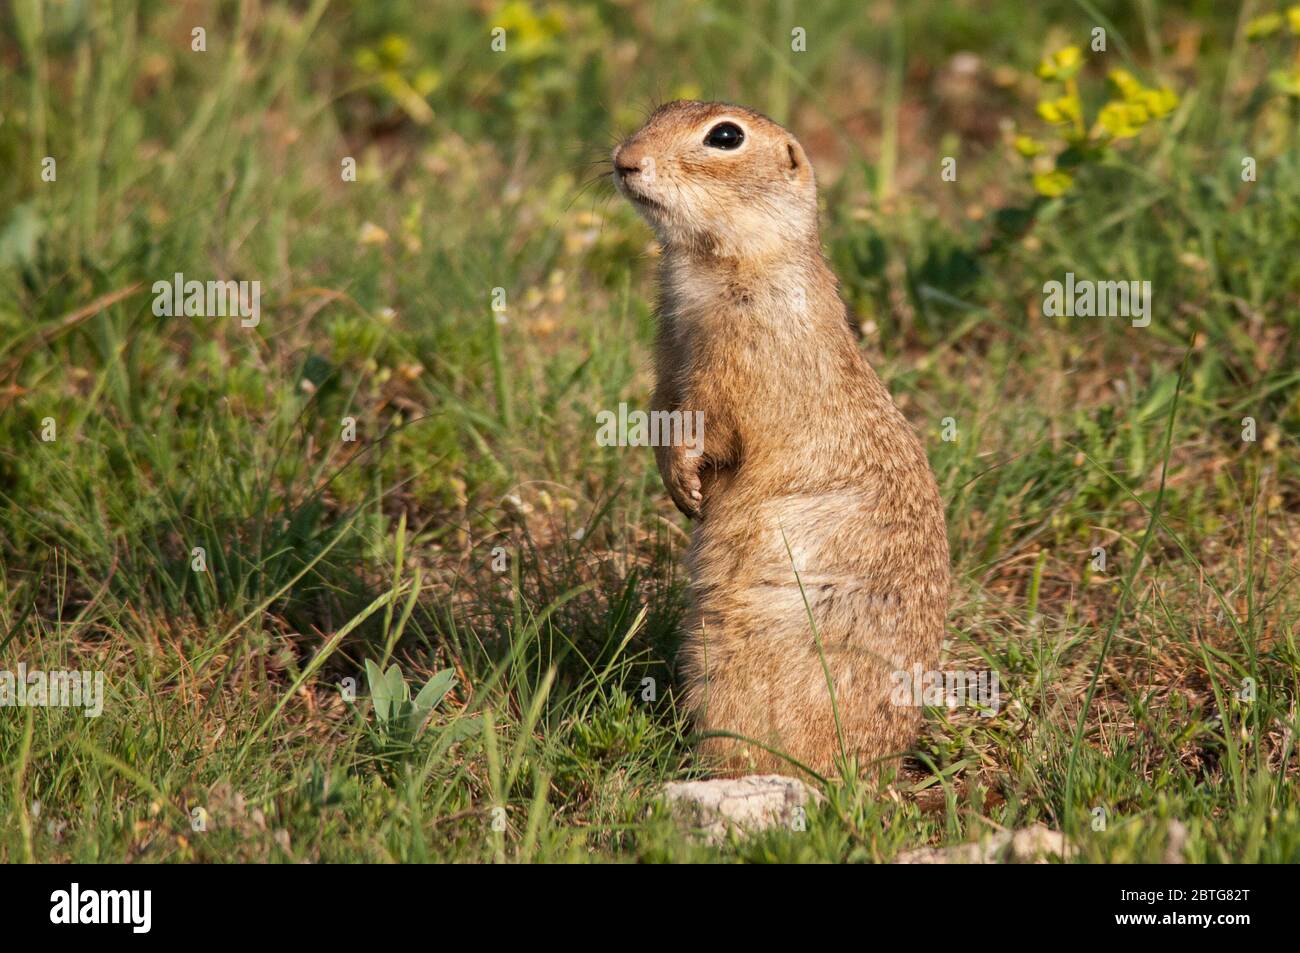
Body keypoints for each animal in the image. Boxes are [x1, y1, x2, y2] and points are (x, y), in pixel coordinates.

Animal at [613, 101, 949, 778]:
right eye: (658, 110)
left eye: (725, 136)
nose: (623, 160)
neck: (712, 262)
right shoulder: (669, 352)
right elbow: (661, 407)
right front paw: (674, 484)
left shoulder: (737, 361)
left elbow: (713, 422)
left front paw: (687, 481)